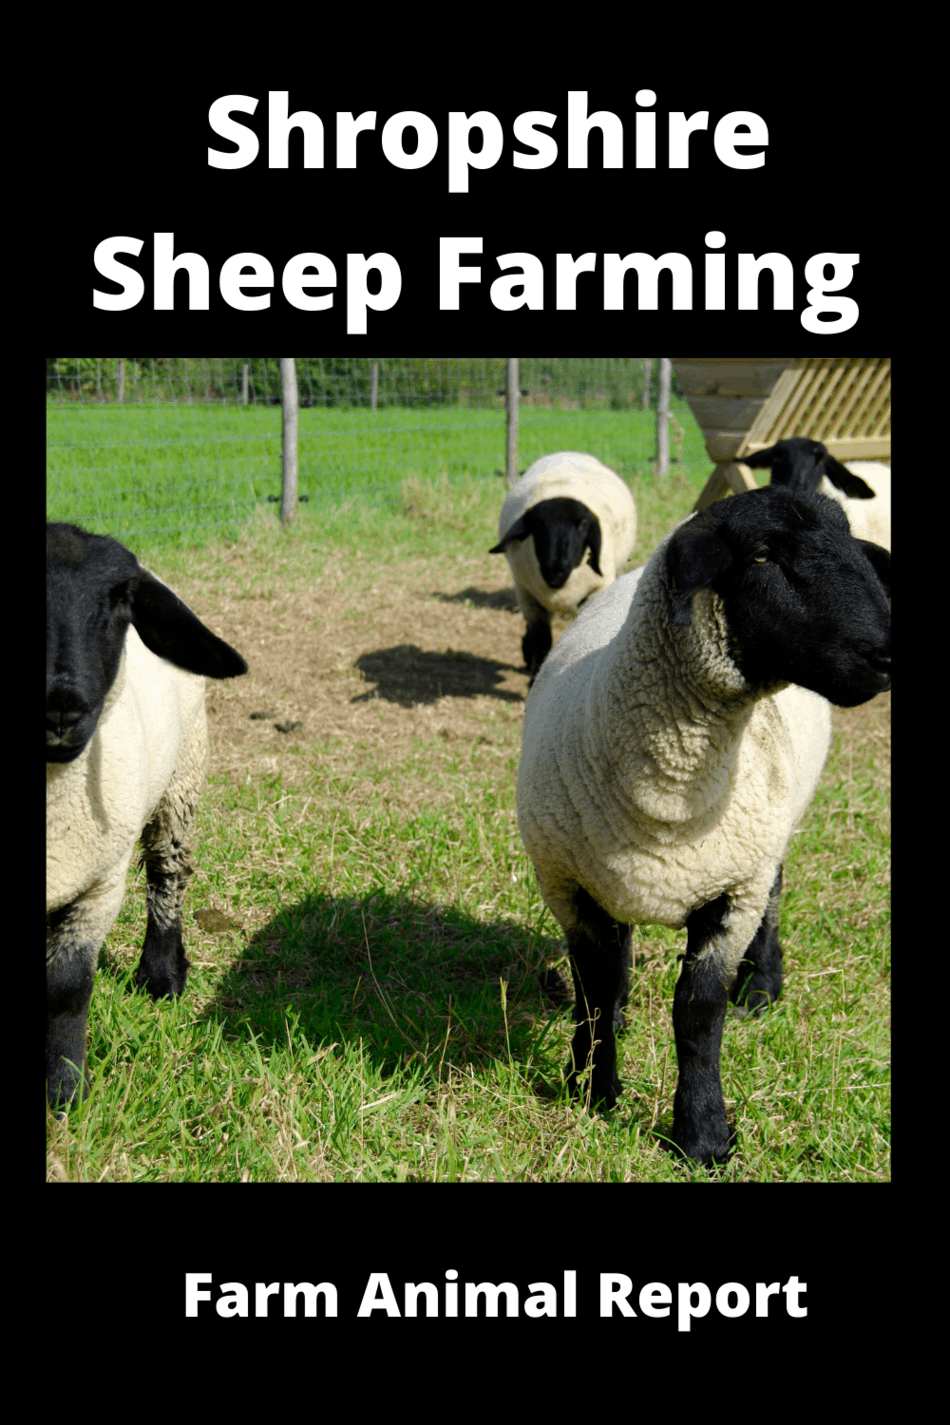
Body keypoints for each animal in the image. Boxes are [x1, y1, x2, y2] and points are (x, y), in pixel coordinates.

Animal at [46, 522, 248, 1109]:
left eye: (118, 605)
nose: (62, 710)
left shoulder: (100, 882)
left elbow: (66, 988)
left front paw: (65, 1089)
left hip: (180, 779)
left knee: (167, 876)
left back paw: (160, 977)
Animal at [489, 451, 637, 682]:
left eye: (583, 525)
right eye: (537, 525)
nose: (555, 569)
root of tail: (568, 453)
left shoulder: (596, 590)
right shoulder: (527, 597)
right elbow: (541, 641)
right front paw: (534, 680)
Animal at [516, 485, 891, 1167]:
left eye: (853, 544)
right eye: (764, 554)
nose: (886, 655)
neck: (671, 795)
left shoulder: (732, 892)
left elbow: (697, 1013)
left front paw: (702, 1134)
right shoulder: (568, 884)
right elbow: (592, 993)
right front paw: (590, 1087)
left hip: (769, 838)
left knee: (775, 894)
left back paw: (762, 987)